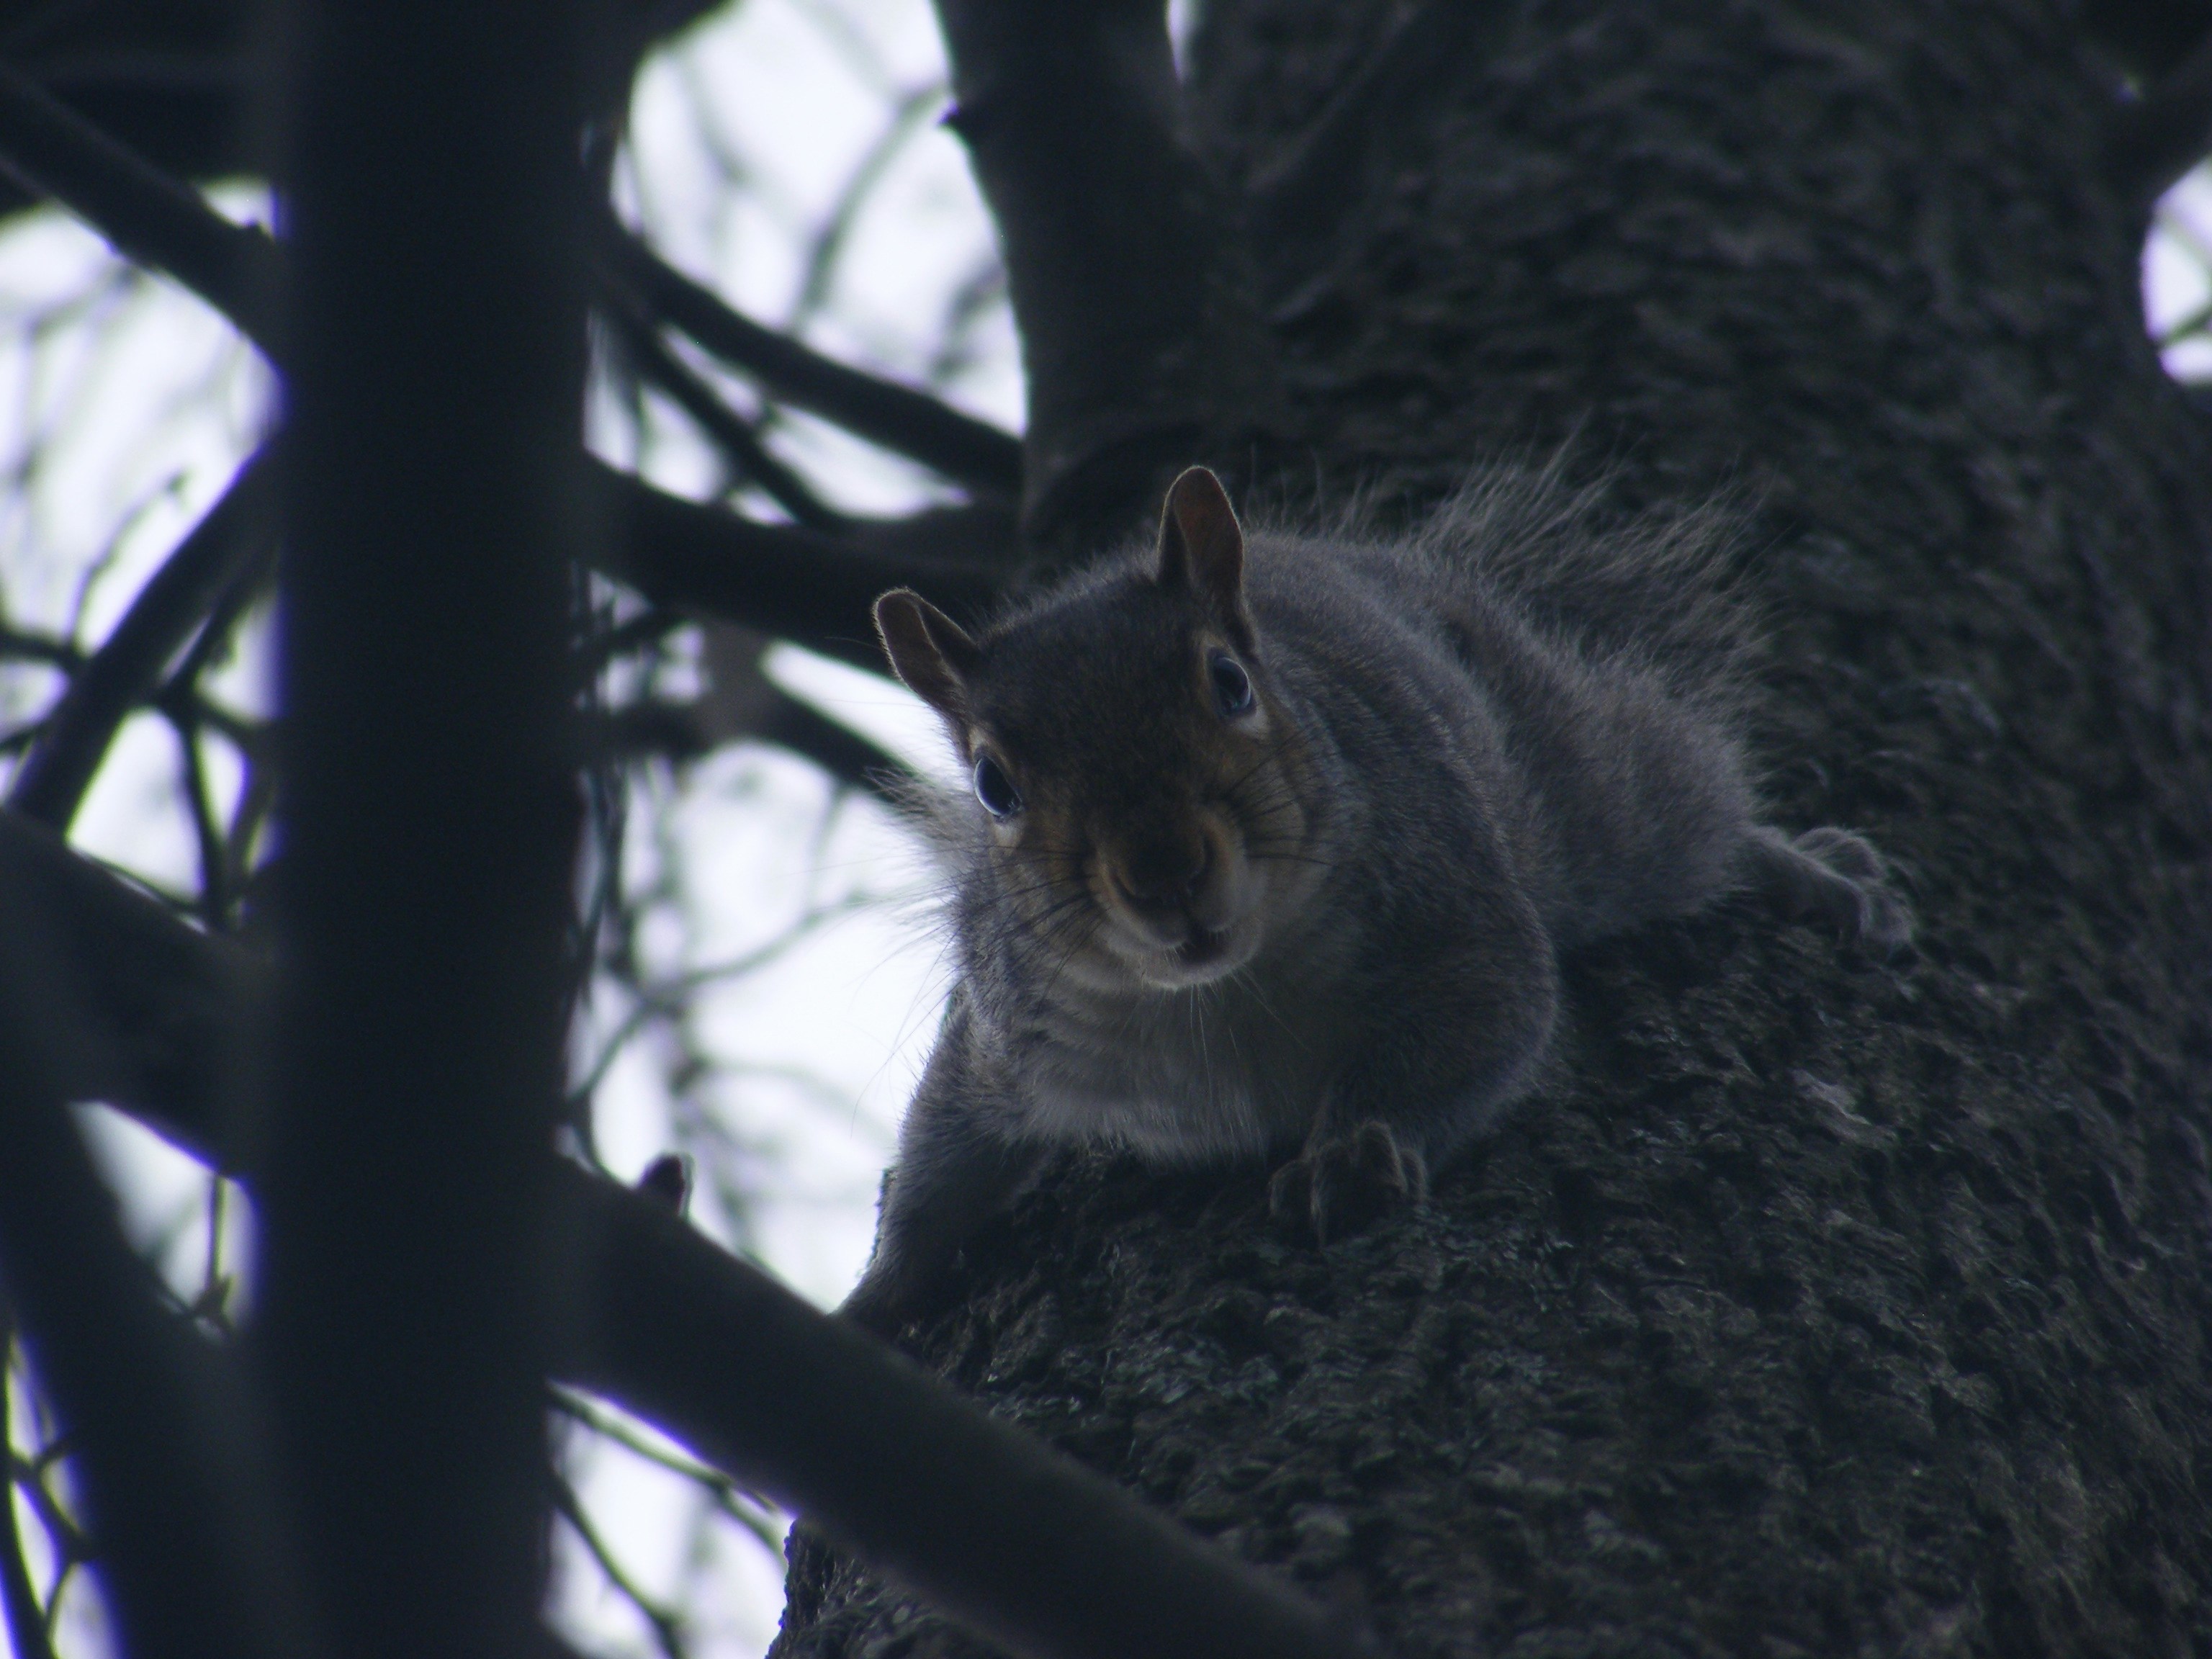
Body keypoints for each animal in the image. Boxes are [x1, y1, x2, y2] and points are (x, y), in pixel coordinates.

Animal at [842, 463, 1909, 1335]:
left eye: (1231, 684)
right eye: (993, 786)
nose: (1165, 872)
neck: (1218, 993)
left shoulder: (1457, 911)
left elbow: (1479, 1026)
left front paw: (1350, 1152)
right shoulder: (1012, 1030)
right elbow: (944, 1147)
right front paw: (880, 1290)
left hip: (1583, 794)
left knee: (1682, 808)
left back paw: (1810, 871)